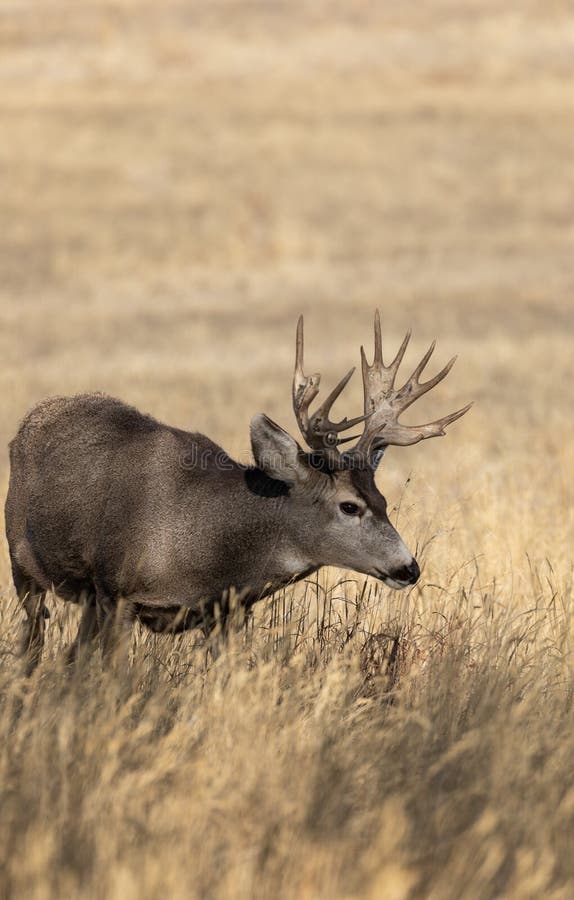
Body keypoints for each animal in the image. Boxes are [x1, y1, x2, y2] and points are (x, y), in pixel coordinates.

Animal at [4, 312, 471, 673]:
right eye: (349, 506)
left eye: (384, 502)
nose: (409, 568)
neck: (208, 547)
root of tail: (33, 417)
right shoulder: (119, 591)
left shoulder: (226, 613)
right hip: (22, 563)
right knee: (34, 645)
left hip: (85, 598)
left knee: (68, 657)